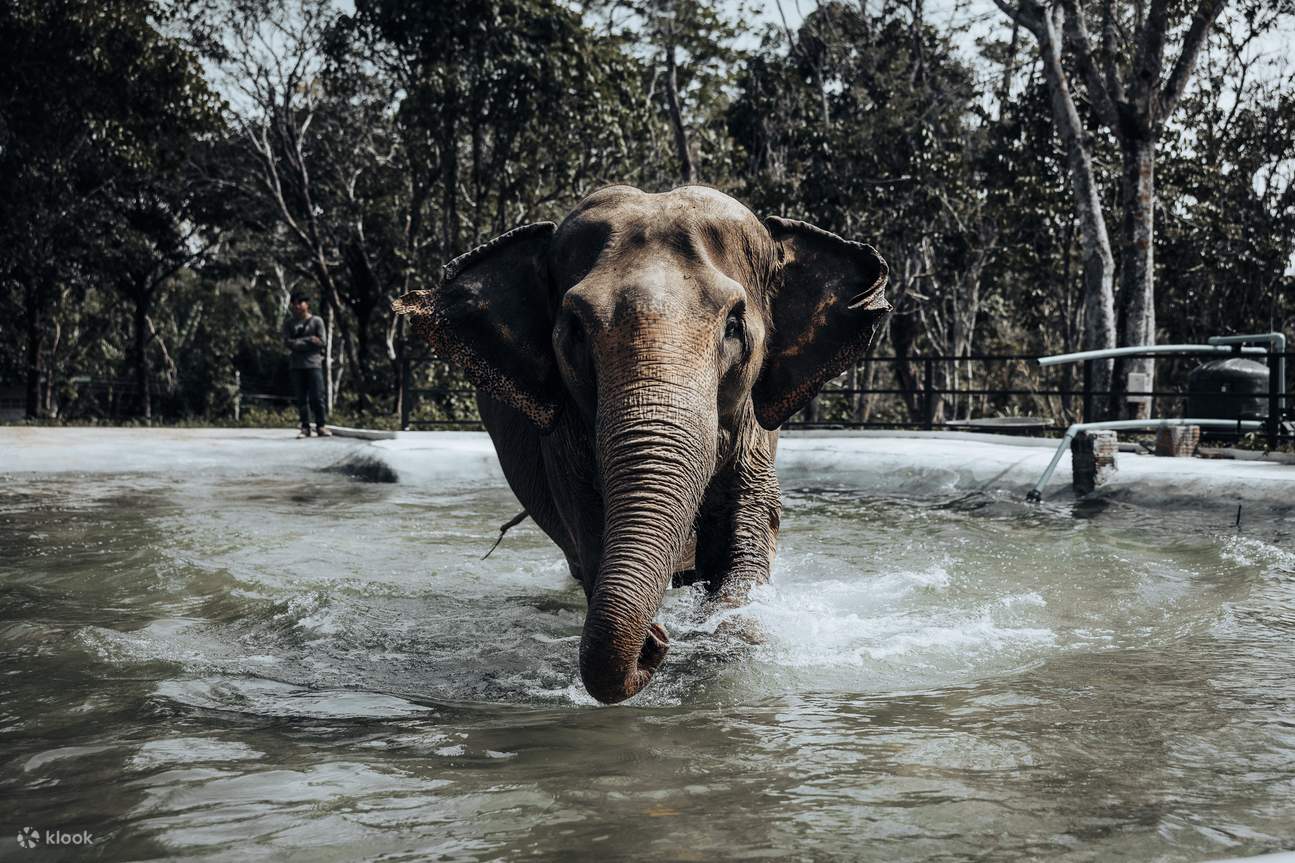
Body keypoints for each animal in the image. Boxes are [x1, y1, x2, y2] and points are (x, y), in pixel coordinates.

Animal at [394, 185, 890, 704]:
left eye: (734, 326)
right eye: (574, 331)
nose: (655, 641)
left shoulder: (754, 428)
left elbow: (749, 535)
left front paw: (727, 644)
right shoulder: (565, 438)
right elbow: (590, 527)